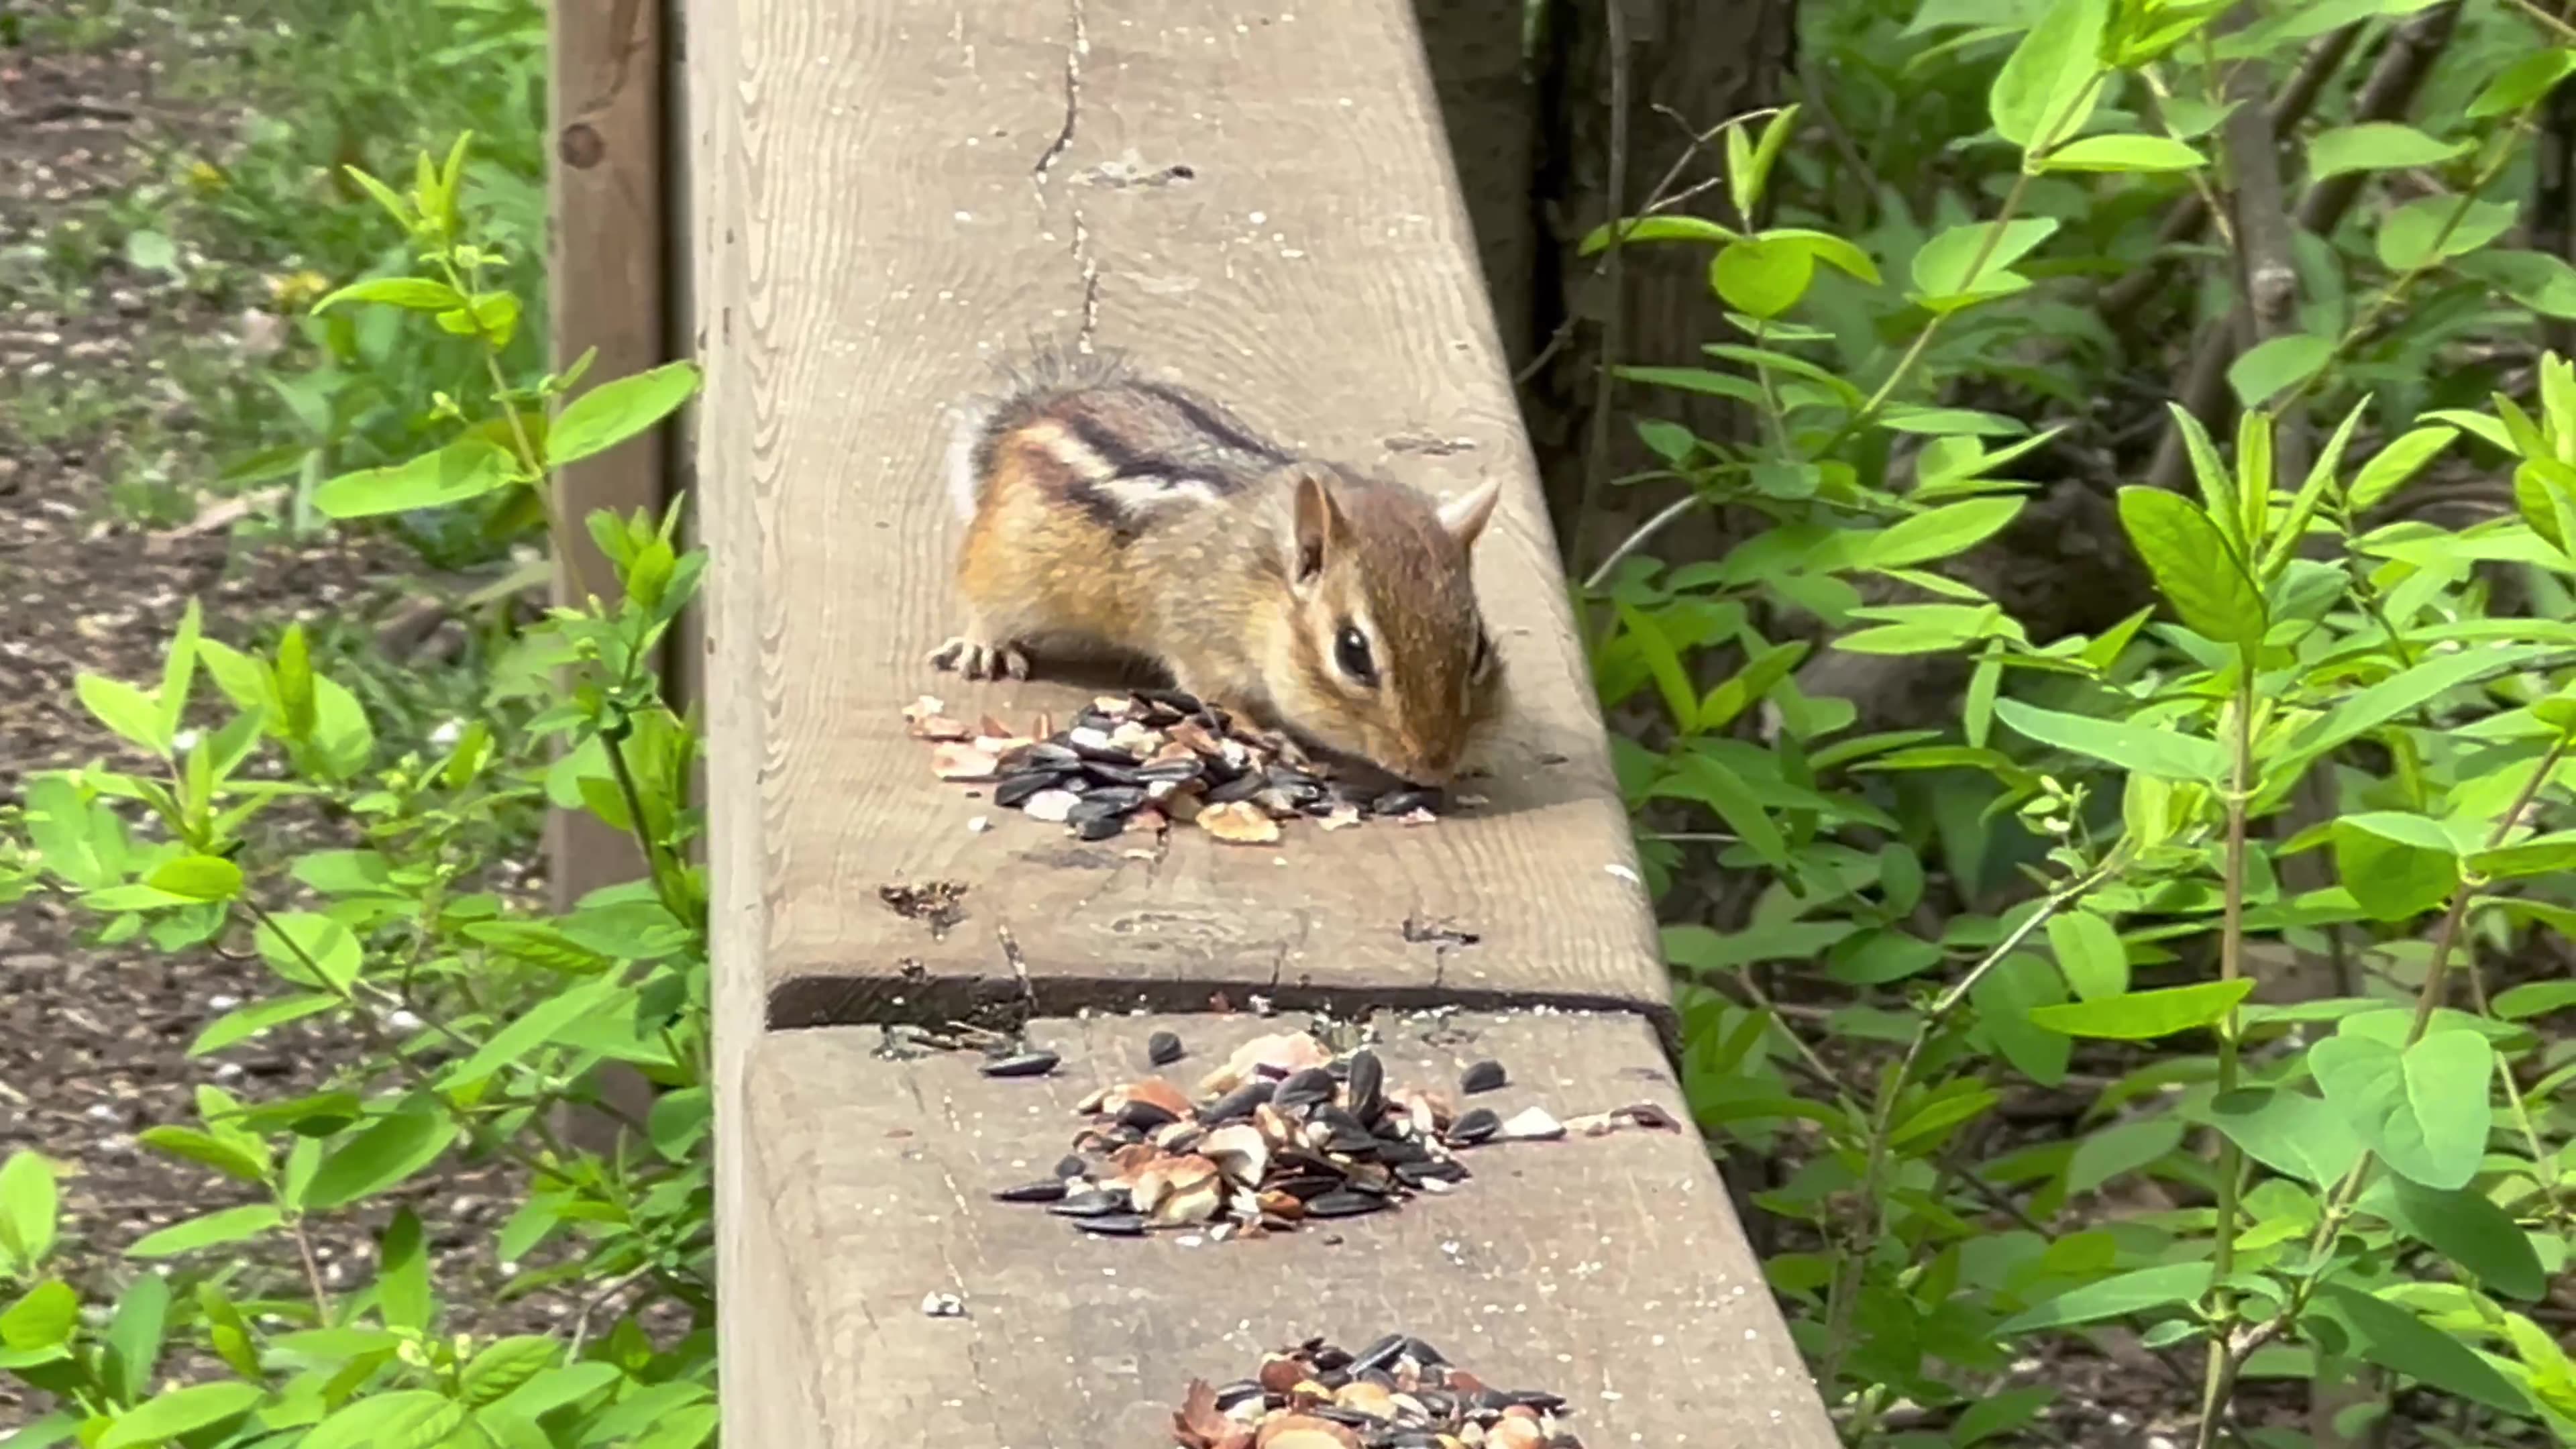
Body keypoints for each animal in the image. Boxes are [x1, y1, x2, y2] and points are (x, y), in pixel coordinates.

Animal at [929, 349, 1508, 786]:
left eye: (1478, 647)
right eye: (1353, 654)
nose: (1433, 766)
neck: (1261, 579)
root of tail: (1040, 412)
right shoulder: (1200, 638)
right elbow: (1218, 694)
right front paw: (1268, 734)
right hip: (1008, 571)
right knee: (985, 603)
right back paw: (986, 645)